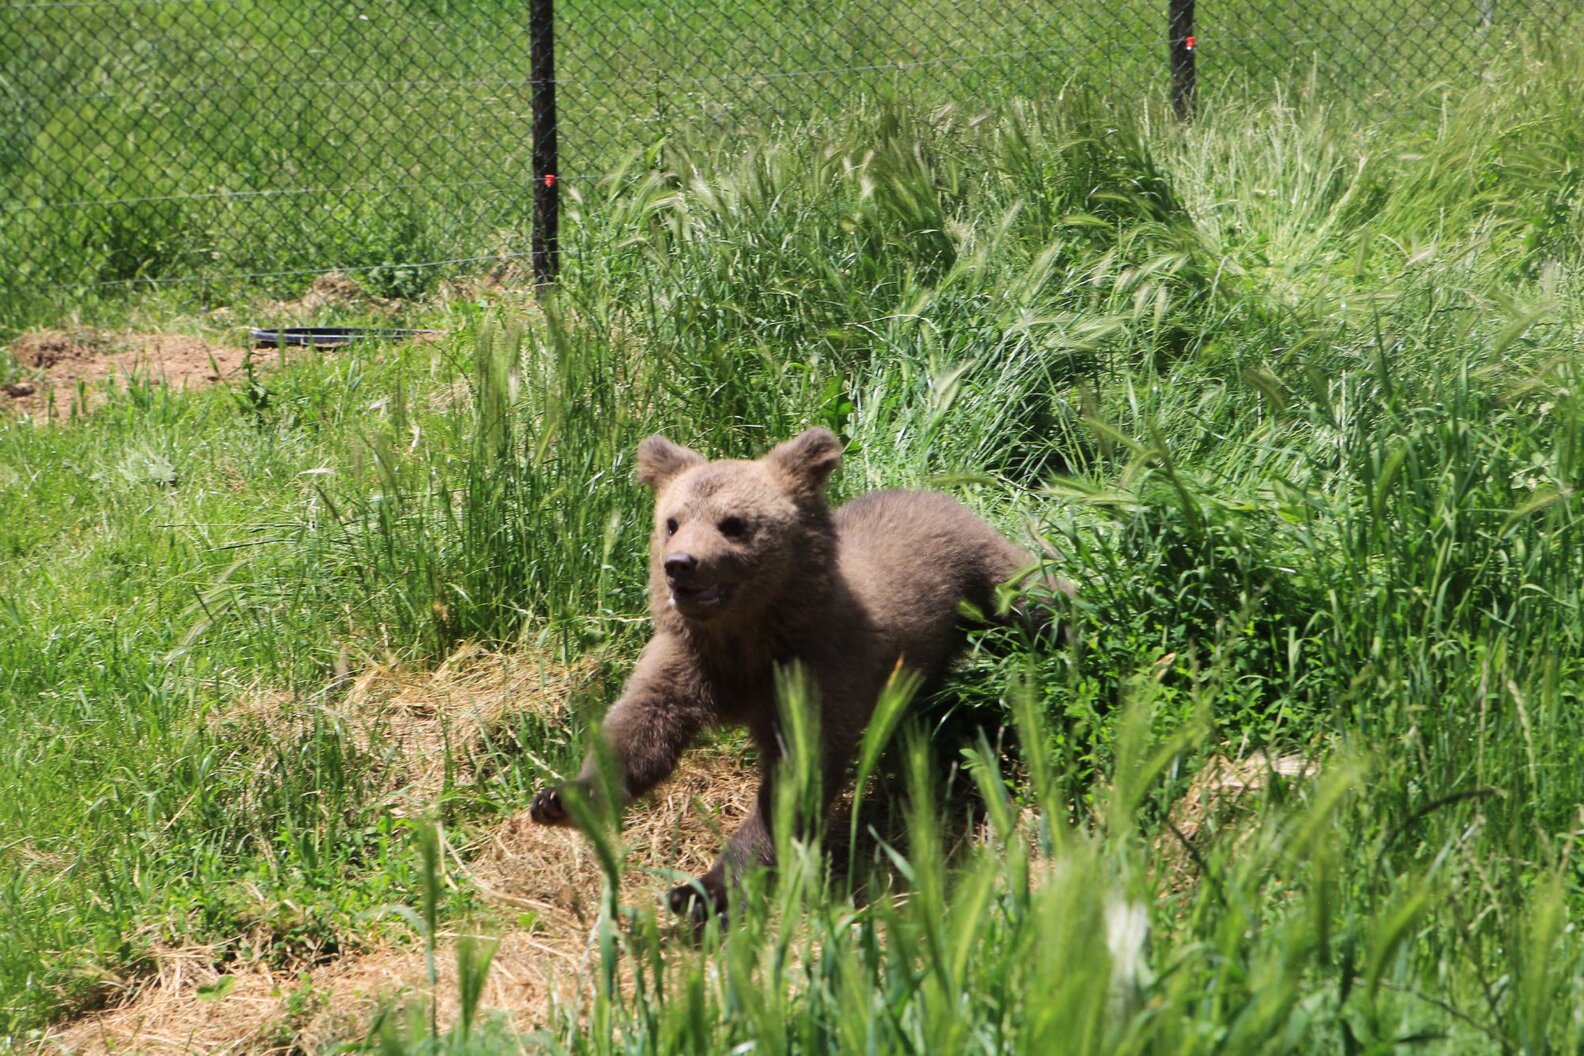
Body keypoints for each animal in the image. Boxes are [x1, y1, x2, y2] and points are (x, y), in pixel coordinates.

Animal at [528, 426, 1039, 922]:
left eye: (733, 523)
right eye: (671, 522)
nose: (680, 565)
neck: (746, 639)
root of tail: (932, 492)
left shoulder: (811, 674)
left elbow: (794, 780)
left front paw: (704, 892)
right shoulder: (687, 662)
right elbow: (638, 733)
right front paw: (561, 799)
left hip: (988, 580)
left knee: (1036, 601)